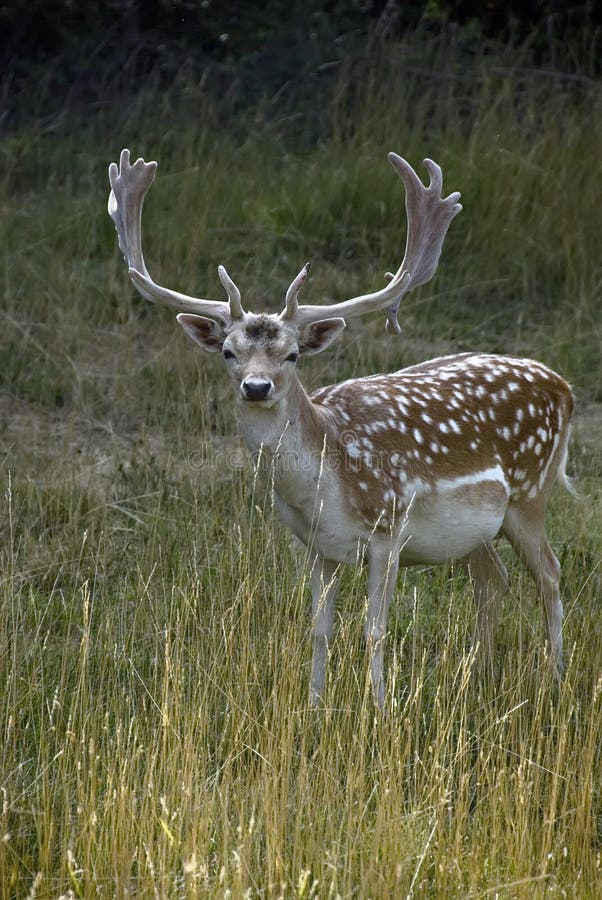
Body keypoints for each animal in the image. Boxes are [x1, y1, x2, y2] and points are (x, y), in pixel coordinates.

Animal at [108, 148, 574, 706]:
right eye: (228, 352)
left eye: (292, 354)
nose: (257, 387)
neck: (326, 487)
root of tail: (564, 387)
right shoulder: (313, 545)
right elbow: (319, 627)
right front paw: (314, 704)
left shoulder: (388, 529)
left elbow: (375, 628)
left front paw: (380, 708)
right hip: (476, 529)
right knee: (494, 578)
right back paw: (475, 680)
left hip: (531, 494)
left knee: (550, 575)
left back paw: (555, 680)